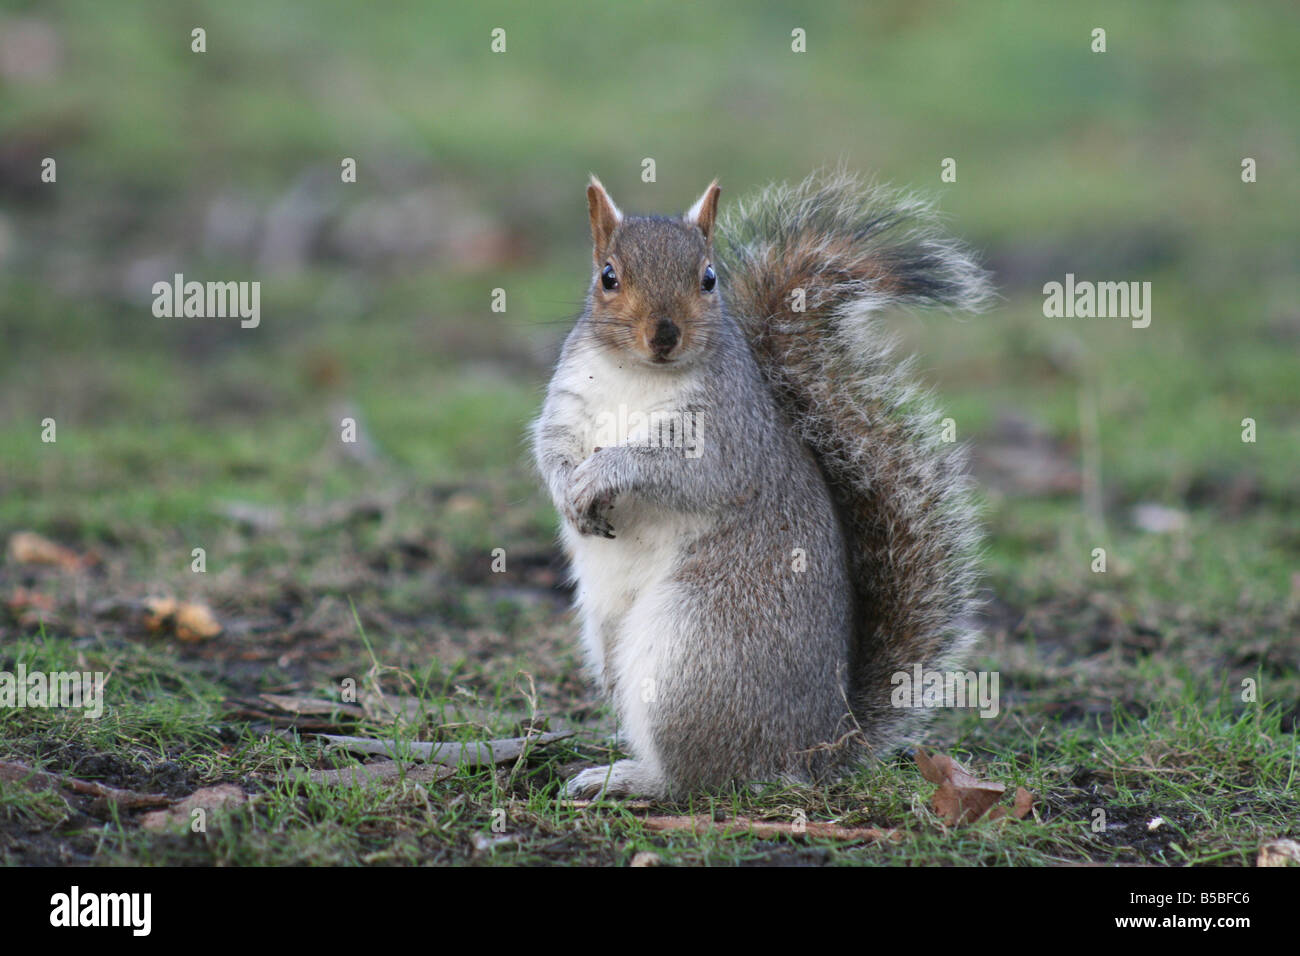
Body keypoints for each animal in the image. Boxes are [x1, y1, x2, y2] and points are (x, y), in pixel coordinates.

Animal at [532, 168, 991, 799]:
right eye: (608, 277)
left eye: (708, 278)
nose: (664, 334)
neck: (638, 375)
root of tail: (819, 745)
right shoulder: (567, 407)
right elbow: (550, 451)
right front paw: (567, 491)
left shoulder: (728, 434)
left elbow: (690, 474)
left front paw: (603, 474)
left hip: (693, 651)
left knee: (699, 776)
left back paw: (628, 778)